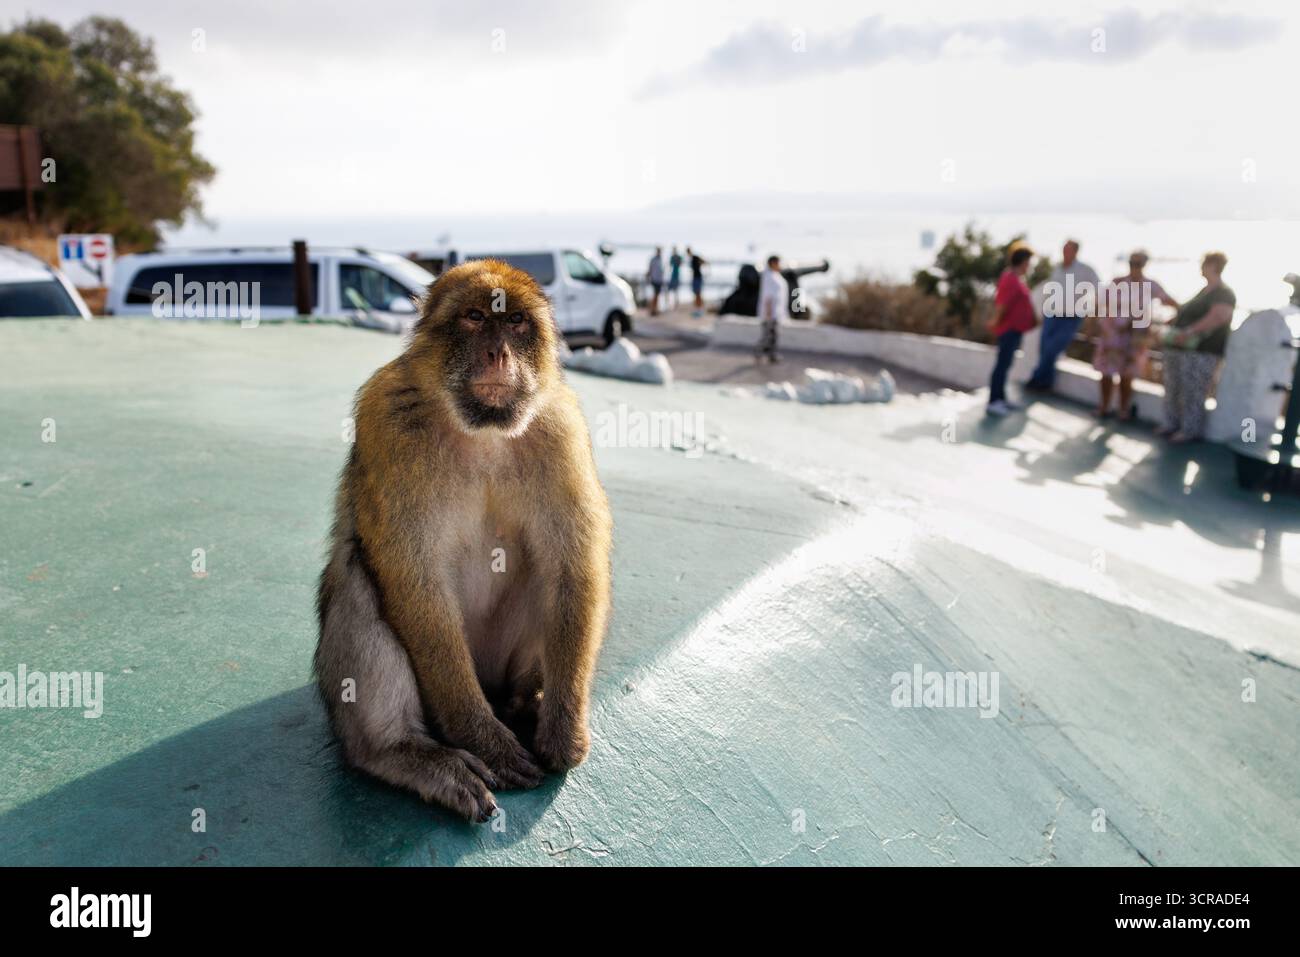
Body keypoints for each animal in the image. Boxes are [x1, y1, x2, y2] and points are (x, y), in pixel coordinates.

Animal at [314, 259, 612, 822]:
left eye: (515, 322)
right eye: (475, 317)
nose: (498, 353)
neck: (482, 434)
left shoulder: (559, 428)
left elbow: (572, 564)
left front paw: (563, 729)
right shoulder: (388, 421)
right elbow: (413, 577)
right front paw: (481, 739)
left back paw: (524, 705)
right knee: (356, 576)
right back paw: (401, 753)